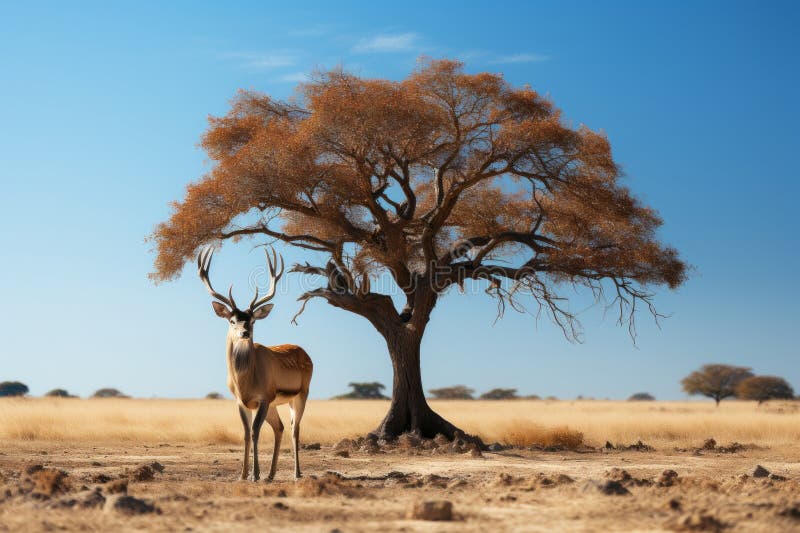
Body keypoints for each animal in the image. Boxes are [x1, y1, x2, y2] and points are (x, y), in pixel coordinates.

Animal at [197, 246, 313, 481]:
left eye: (252, 320)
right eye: (232, 320)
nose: (245, 332)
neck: (245, 382)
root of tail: (305, 353)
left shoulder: (263, 398)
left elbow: (254, 431)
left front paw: (254, 474)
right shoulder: (241, 402)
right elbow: (245, 434)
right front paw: (243, 474)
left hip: (301, 394)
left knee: (295, 428)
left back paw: (296, 473)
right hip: (276, 404)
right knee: (280, 428)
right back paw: (271, 474)